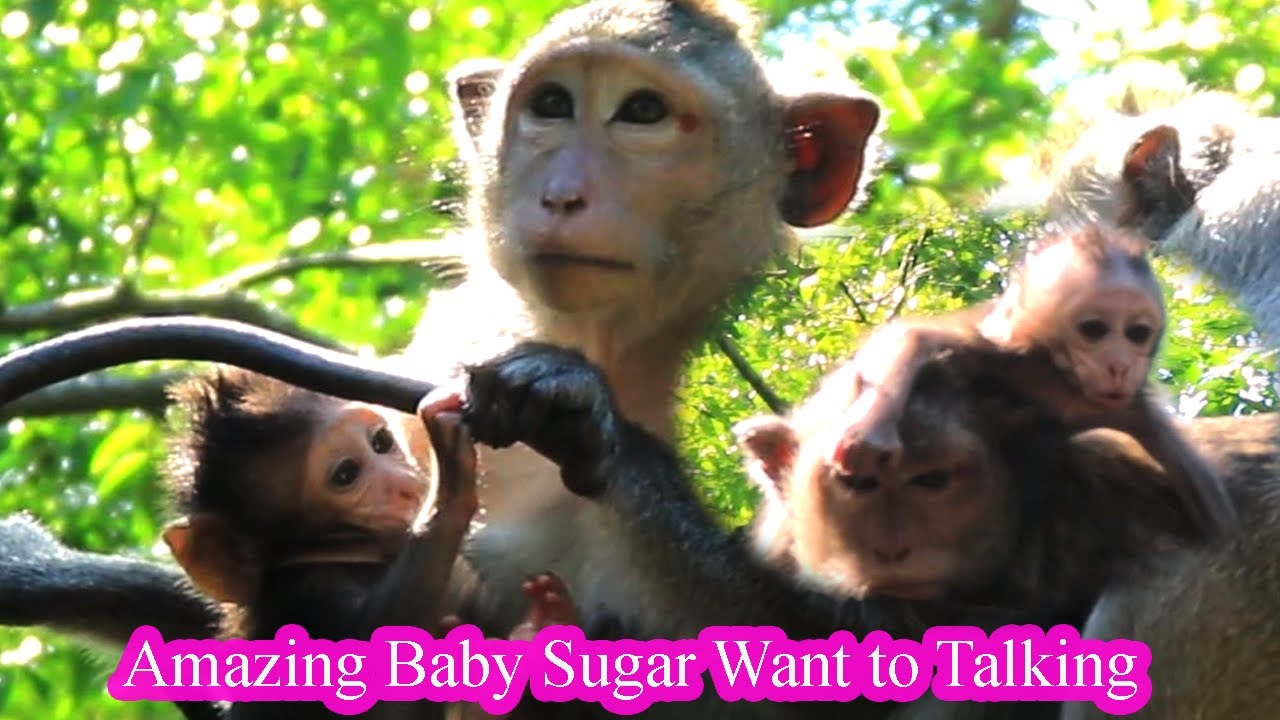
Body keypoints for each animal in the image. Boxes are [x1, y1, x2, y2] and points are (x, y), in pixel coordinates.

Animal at [160, 368, 477, 720]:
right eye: (346, 474)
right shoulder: (310, 596)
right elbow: (375, 643)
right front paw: (450, 467)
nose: (406, 485)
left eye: (381, 442)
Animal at [812, 222, 1235, 545]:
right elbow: (912, 338)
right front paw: (869, 433)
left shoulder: (1128, 407)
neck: (1058, 378)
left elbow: (1216, 519)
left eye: (1137, 333)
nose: (1119, 365)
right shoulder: (1001, 351)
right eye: (1094, 330)